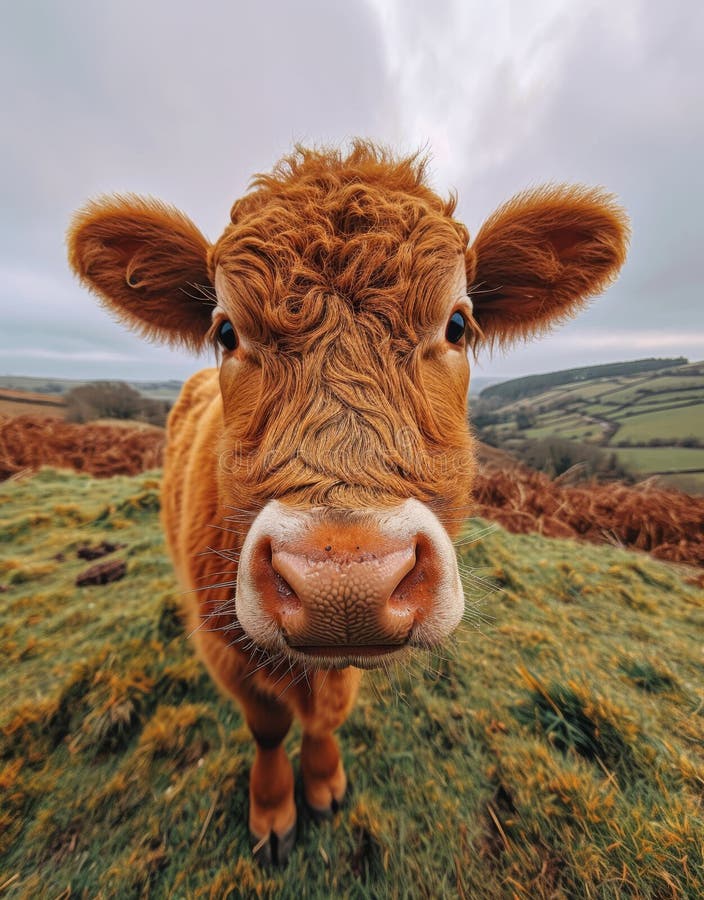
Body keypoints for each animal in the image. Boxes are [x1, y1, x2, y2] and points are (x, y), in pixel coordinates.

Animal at [68, 142, 628, 865]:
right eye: (225, 332)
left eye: (458, 324)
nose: (345, 583)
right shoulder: (226, 649)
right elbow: (268, 725)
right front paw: (273, 807)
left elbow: (325, 718)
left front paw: (324, 781)